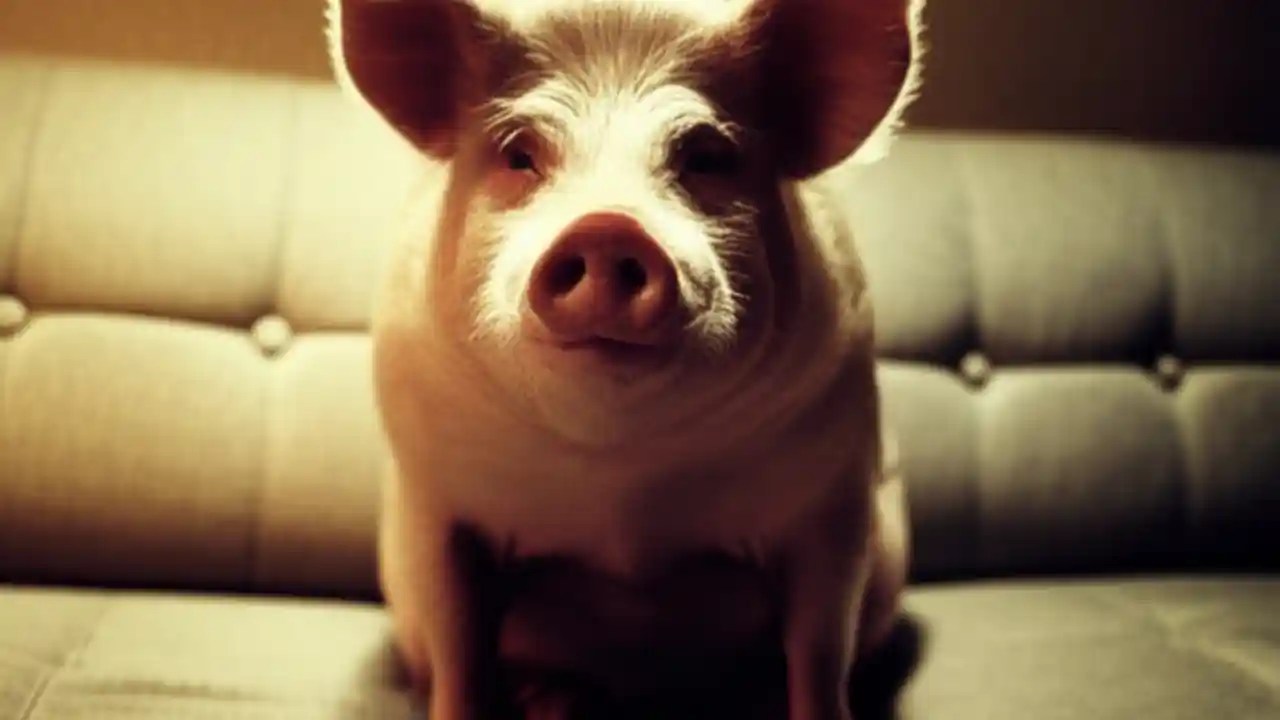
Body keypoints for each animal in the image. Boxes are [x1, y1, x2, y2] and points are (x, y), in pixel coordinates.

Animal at [328, 0, 926, 718]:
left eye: (707, 156)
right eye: (519, 153)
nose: (608, 228)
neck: (622, 504)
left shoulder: (836, 499)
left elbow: (820, 649)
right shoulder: (433, 504)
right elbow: (458, 654)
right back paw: (551, 702)